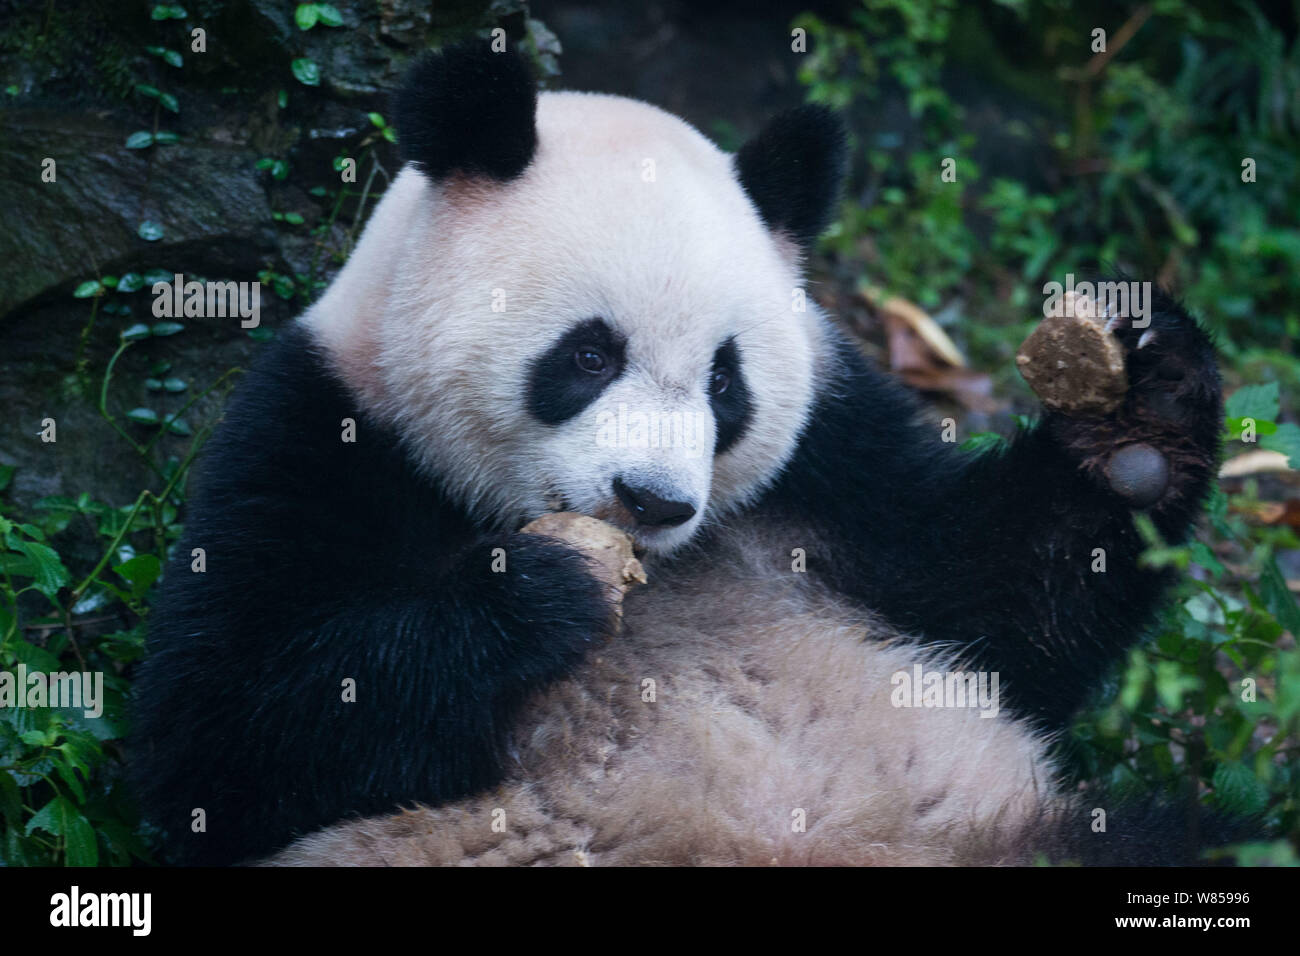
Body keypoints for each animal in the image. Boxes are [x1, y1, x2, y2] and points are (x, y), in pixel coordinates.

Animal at [130, 41, 1226, 867]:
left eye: (724, 383)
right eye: (587, 354)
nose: (651, 501)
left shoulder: (833, 462)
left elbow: (994, 611)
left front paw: (1142, 415)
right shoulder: (324, 432)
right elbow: (223, 736)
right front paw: (536, 594)